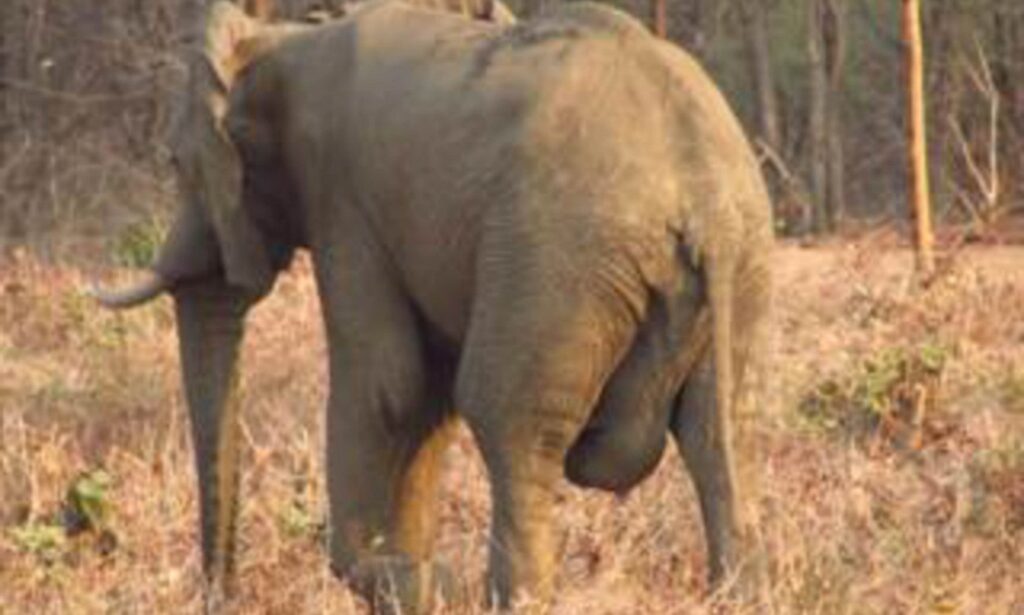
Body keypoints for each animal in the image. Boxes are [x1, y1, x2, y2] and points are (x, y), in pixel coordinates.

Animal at [92, 0, 773, 611]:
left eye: (175, 161)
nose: (221, 594)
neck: (281, 36)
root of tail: (702, 200)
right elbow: (423, 398)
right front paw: (420, 579)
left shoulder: (343, 200)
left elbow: (390, 387)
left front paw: (428, 582)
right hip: (738, 267)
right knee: (717, 435)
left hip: (557, 258)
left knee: (510, 420)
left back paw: (508, 597)